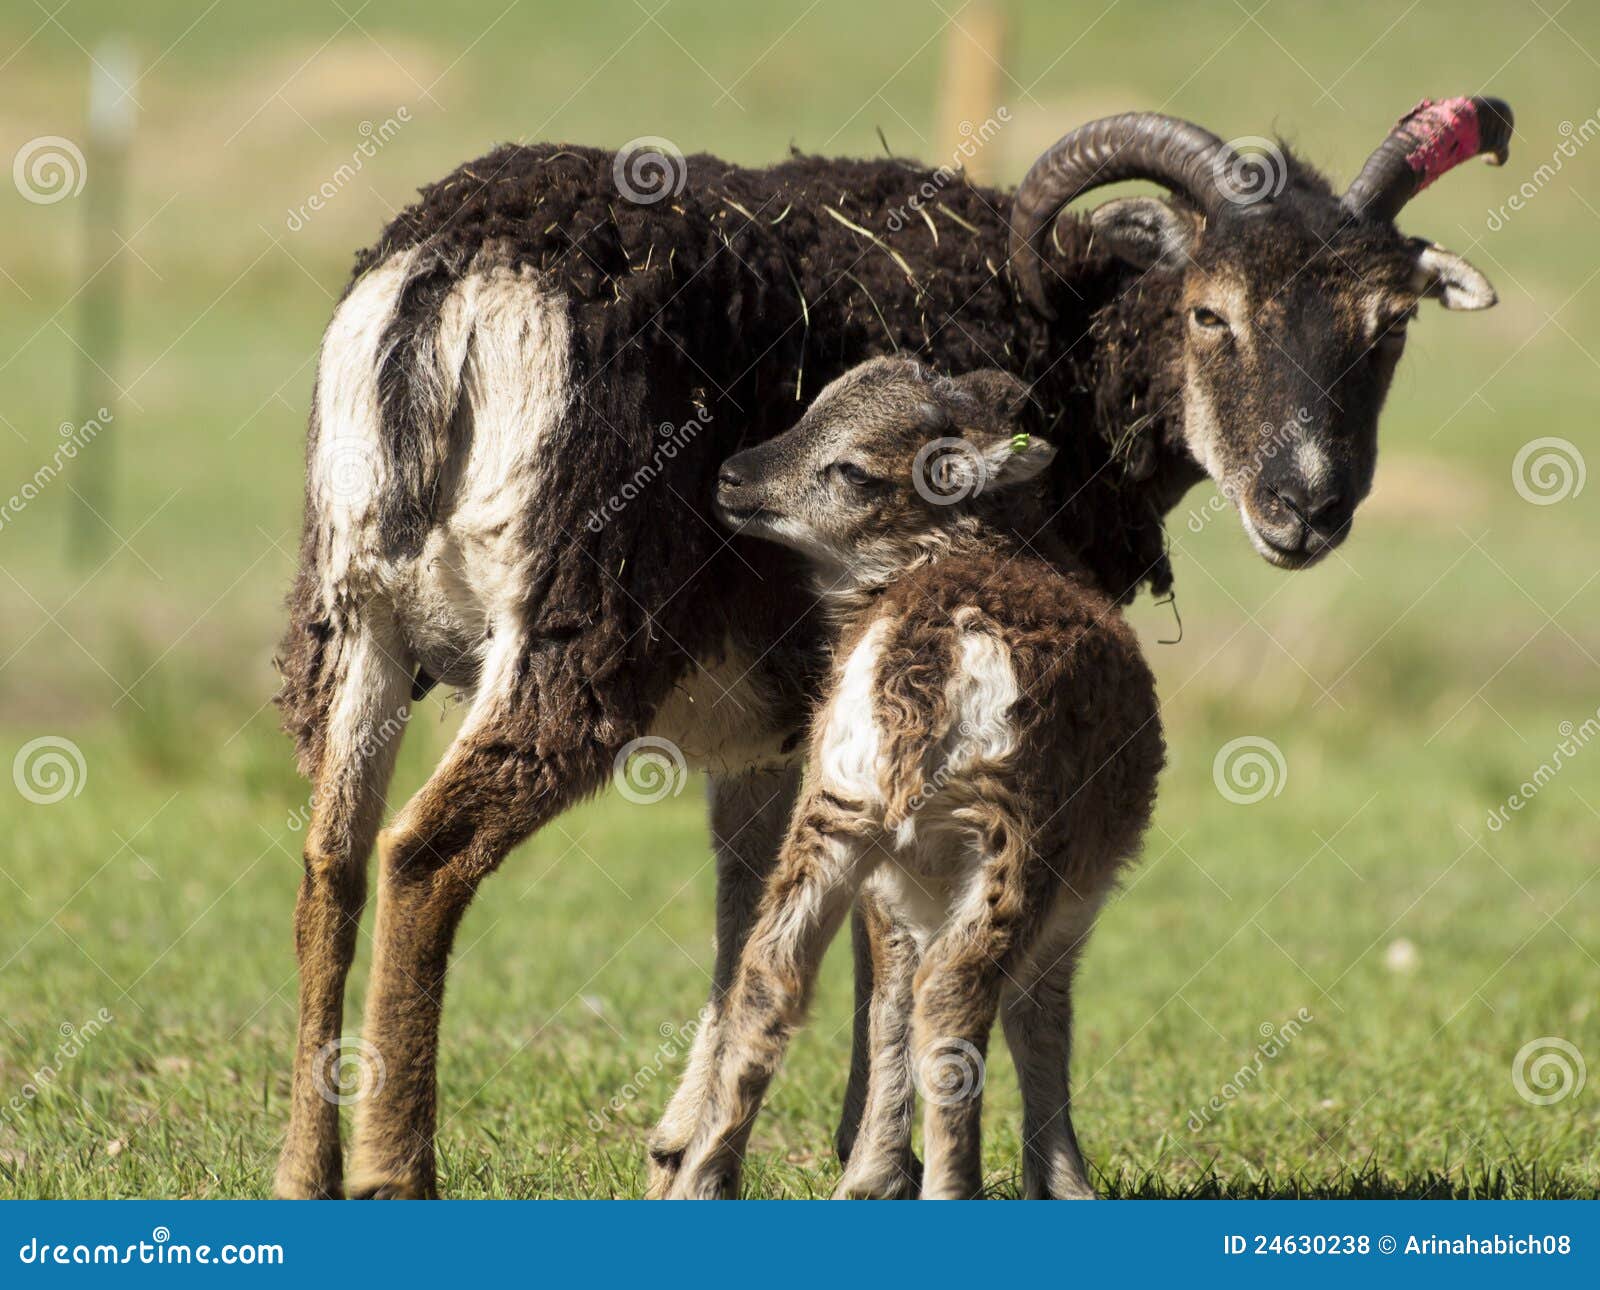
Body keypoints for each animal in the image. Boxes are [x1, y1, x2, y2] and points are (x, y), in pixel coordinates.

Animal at [658, 355, 1161, 1200]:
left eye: (853, 468)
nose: (731, 475)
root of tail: (925, 655)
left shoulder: (893, 883)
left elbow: (884, 999)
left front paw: (869, 1178)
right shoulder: (1079, 898)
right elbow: (1038, 1015)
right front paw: (1064, 1183)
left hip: (837, 806)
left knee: (770, 973)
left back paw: (702, 1179)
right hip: (1016, 835)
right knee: (957, 998)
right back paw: (953, 1186)